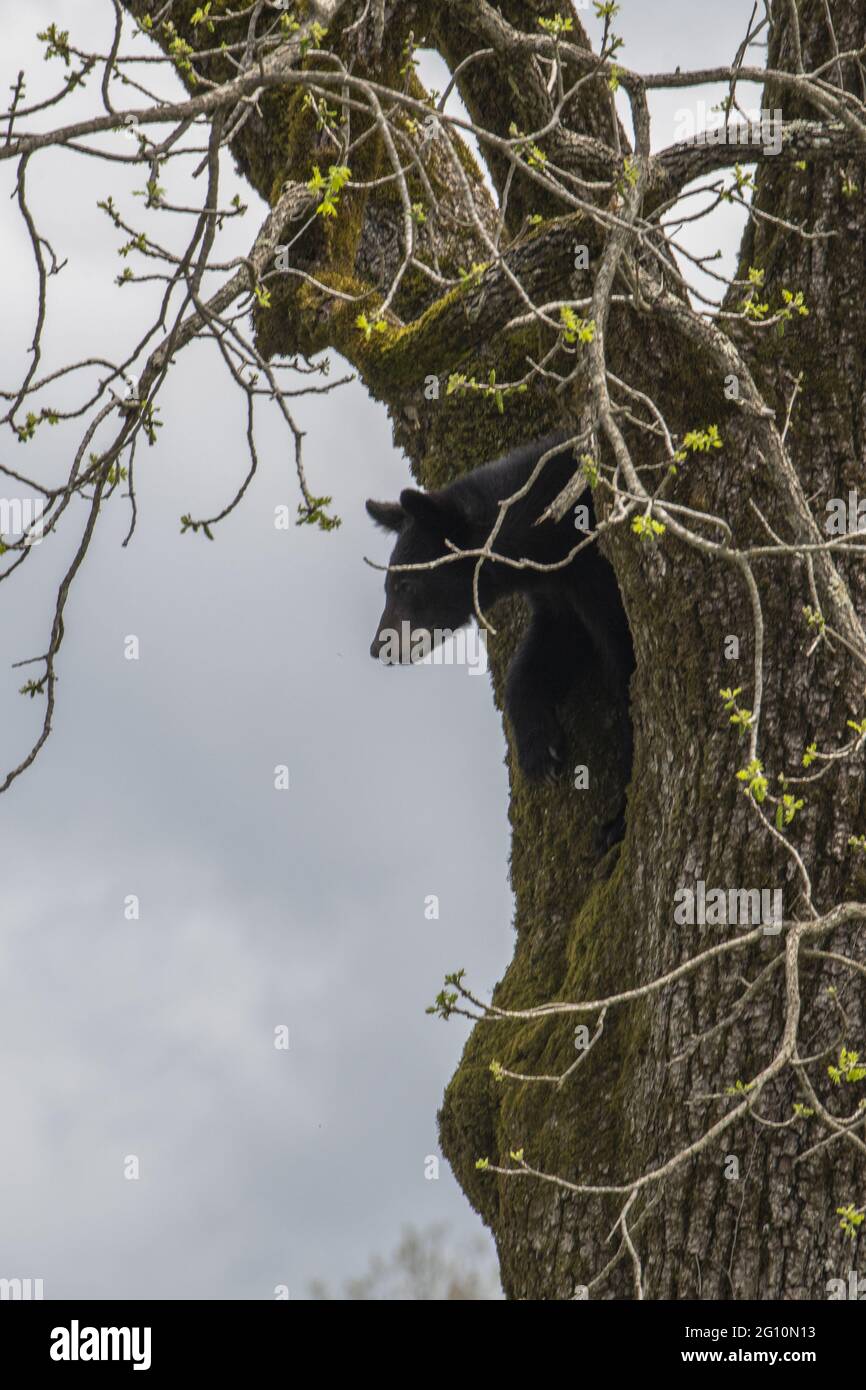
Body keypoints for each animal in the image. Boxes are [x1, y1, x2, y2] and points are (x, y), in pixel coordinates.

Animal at [366, 431, 634, 804]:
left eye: (406, 585)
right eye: (387, 586)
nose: (379, 647)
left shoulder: (596, 569)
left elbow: (621, 647)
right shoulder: (557, 588)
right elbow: (552, 644)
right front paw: (538, 750)